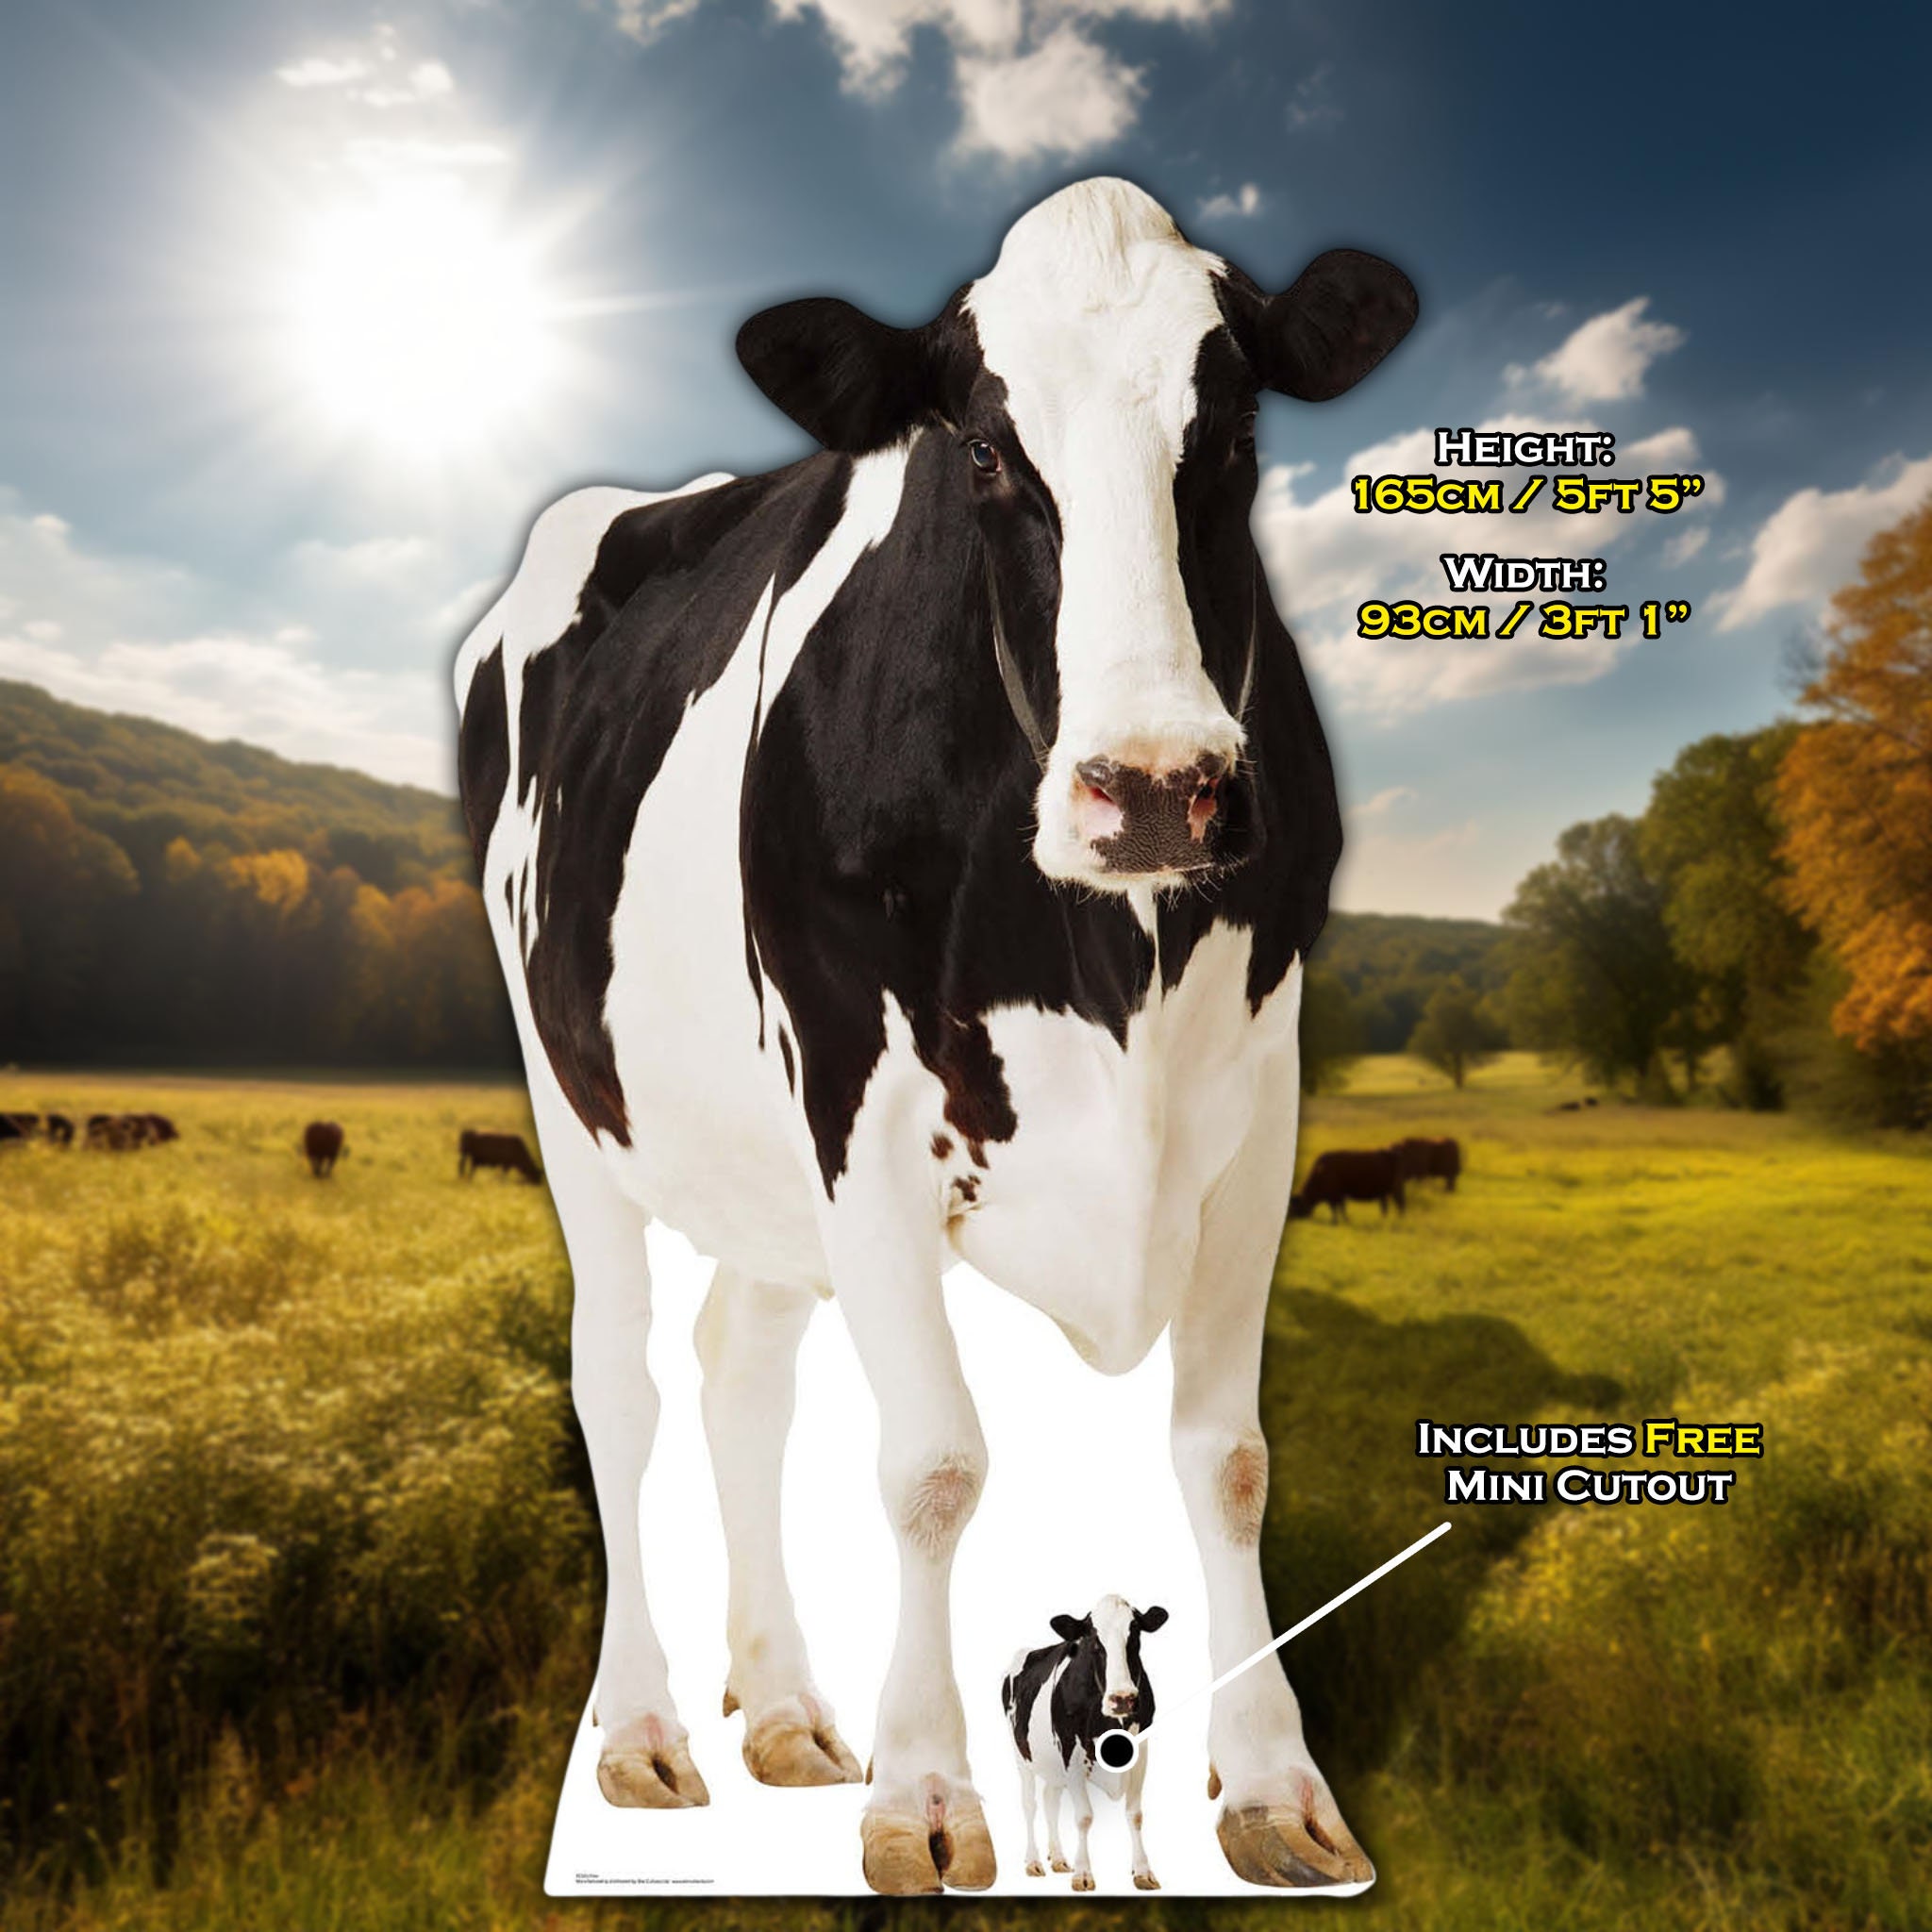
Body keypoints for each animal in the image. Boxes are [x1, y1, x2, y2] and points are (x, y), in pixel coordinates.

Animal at [1003, 1597, 1168, 1893]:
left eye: (1135, 1634)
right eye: (1093, 1641)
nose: (1122, 1698)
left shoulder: (1142, 1747)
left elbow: (1135, 1814)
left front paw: (1143, 1871)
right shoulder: (1071, 1749)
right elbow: (1084, 1816)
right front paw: (1083, 1874)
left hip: (1053, 1764)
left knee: (1050, 1800)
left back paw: (1058, 1858)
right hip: (1021, 1753)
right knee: (1030, 1804)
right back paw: (1033, 1861)